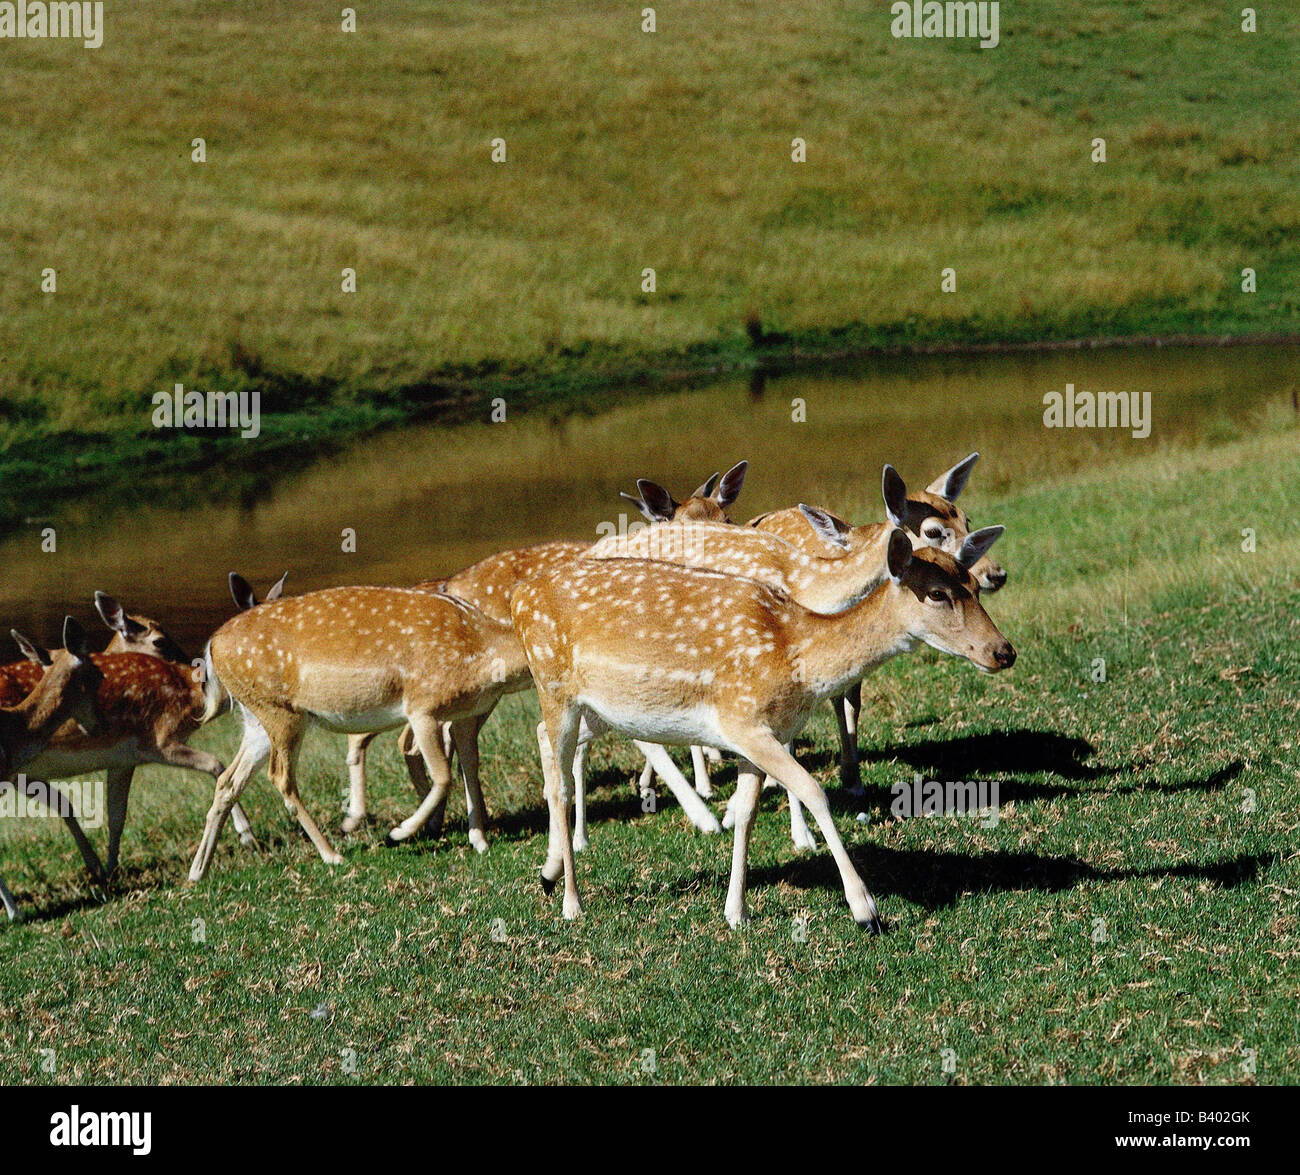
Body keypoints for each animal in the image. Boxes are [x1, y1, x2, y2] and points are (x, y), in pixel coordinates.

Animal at [1, 618, 104, 922]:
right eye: (99, 675)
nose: (102, 725)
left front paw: (98, 869)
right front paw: (15, 914)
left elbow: (61, 801)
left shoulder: (15, 776)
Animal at [511, 528, 1014, 930]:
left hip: (598, 708)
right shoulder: (743, 717)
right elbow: (813, 790)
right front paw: (865, 909)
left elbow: (748, 812)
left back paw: (549, 873)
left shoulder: (757, 733)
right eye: (937, 593)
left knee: (541, 739)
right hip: (553, 685)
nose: (1003, 651)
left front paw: (736, 912)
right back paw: (572, 903)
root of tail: (518, 599)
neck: (798, 656)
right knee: (558, 781)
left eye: (973, 584)